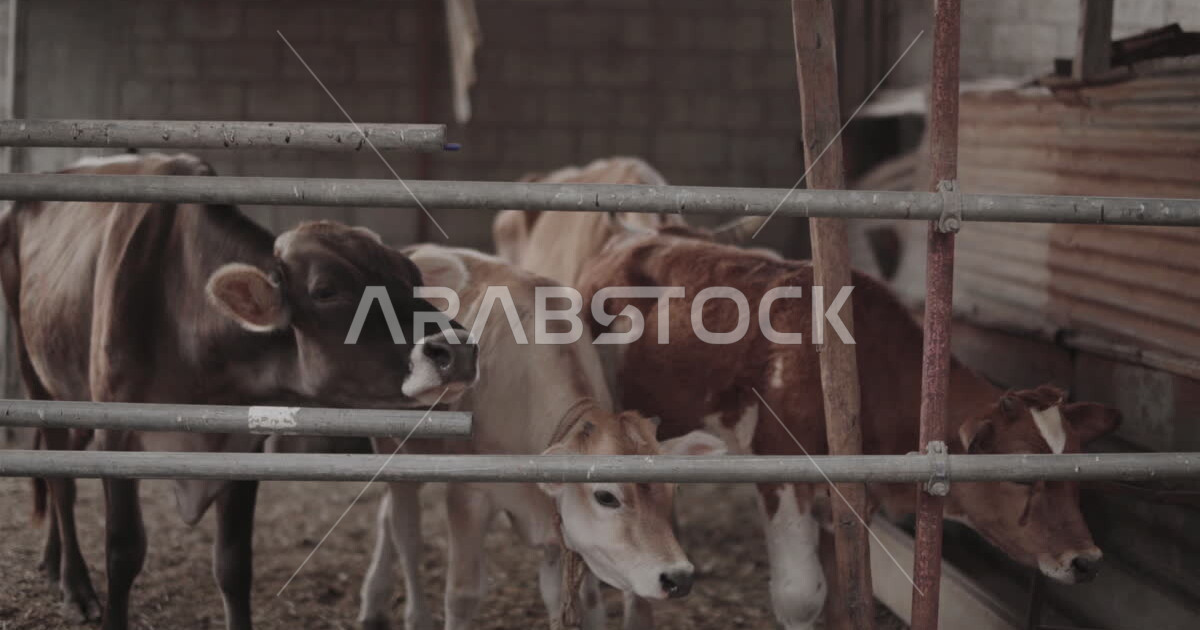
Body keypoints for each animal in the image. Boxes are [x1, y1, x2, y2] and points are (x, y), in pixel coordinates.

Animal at [0, 153, 478, 630]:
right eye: (326, 290)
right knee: (60, 479)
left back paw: (53, 561)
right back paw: (75, 584)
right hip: (35, 373)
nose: (457, 349)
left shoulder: (244, 441)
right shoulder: (116, 430)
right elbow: (123, 552)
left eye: (414, 277)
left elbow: (233, 564)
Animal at [357, 244, 725, 630]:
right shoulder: (468, 495)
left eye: (673, 489)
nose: (678, 577)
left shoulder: (558, 529)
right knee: (406, 535)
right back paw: (415, 615)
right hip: (398, 453)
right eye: (606, 496)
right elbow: (462, 595)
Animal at [494, 157, 1122, 630]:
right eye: (1018, 475)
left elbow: (846, 592)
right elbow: (802, 594)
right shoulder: (784, 472)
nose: (1087, 561)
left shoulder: (853, 495)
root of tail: (637, 232)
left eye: (1077, 470)